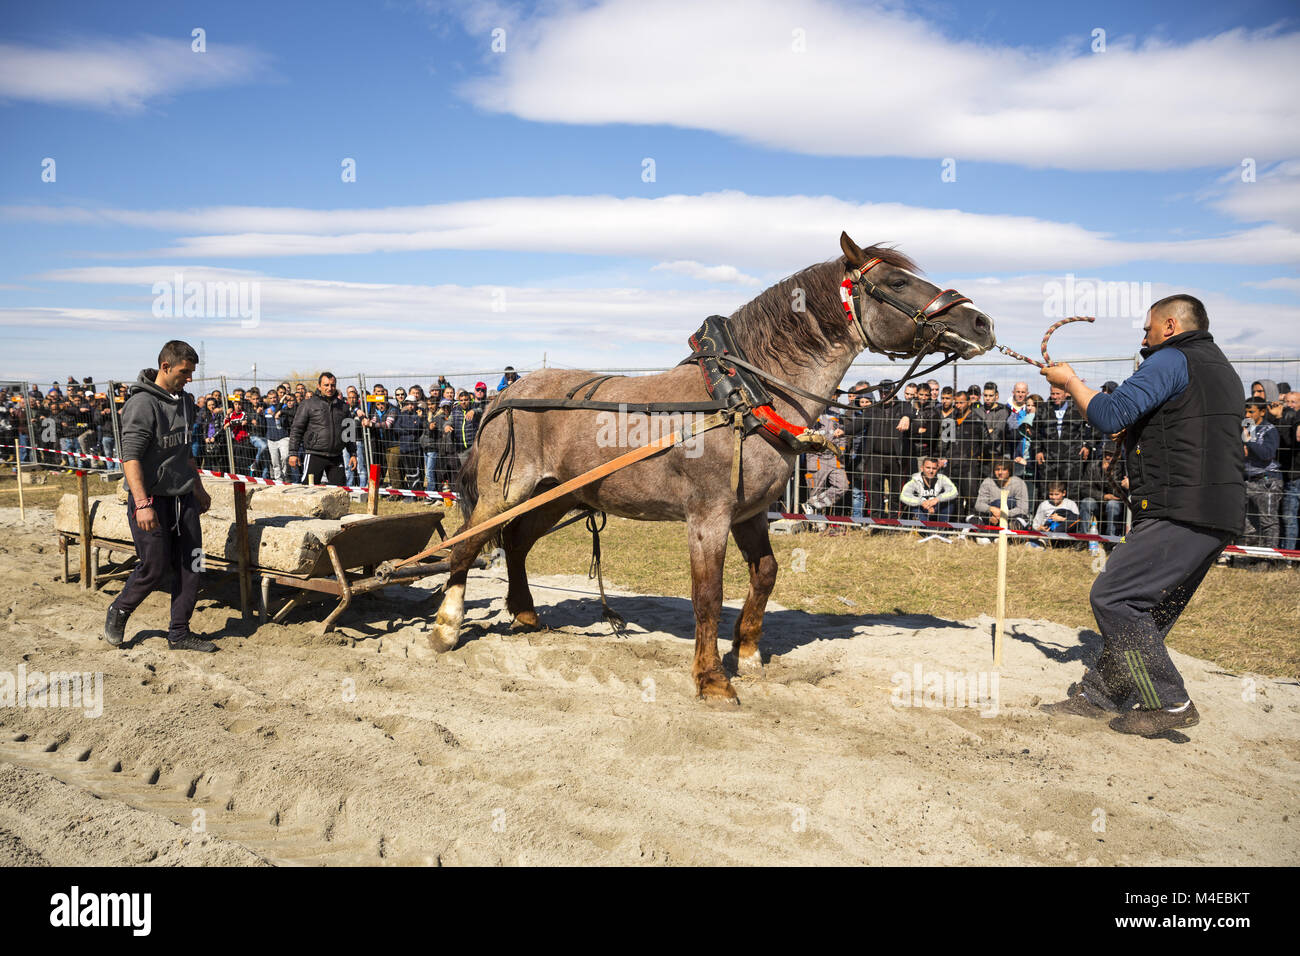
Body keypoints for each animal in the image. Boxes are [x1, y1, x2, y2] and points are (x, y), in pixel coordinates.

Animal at [428, 232, 996, 701]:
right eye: (897, 281)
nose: (981, 322)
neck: (743, 394)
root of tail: (506, 396)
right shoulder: (708, 516)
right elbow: (708, 595)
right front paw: (712, 680)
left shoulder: (750, 513)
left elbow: (765, 574)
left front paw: (747, 651)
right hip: (507, 489)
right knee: (468, 544)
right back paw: (447, 626)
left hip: (558, 493)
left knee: (516, 543)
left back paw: (525, 614)